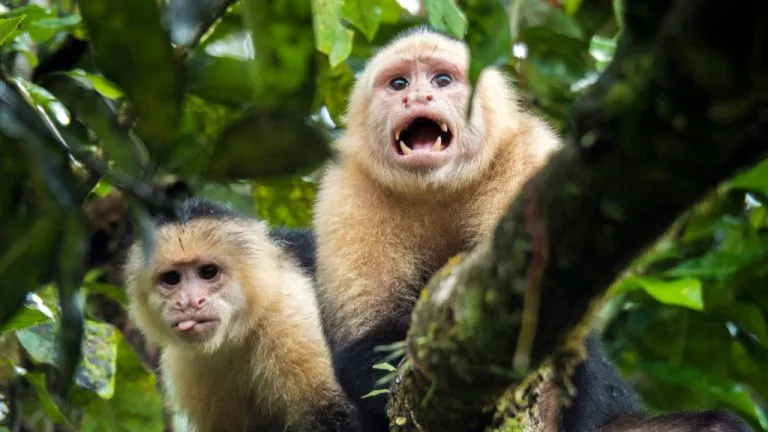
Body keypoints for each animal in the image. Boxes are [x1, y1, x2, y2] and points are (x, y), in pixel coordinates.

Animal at [121, 197, 358, 432]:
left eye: (208, 272)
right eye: (171, 278)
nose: (189, 302)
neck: (239, 334)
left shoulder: (291, 318)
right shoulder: (189, 365)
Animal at [310, 26, 753, 432]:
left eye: (442, 80)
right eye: (399, 83)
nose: (416, 97)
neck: (439, 189)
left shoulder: (527, 157)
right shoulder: (346, 196)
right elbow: (362, 341)